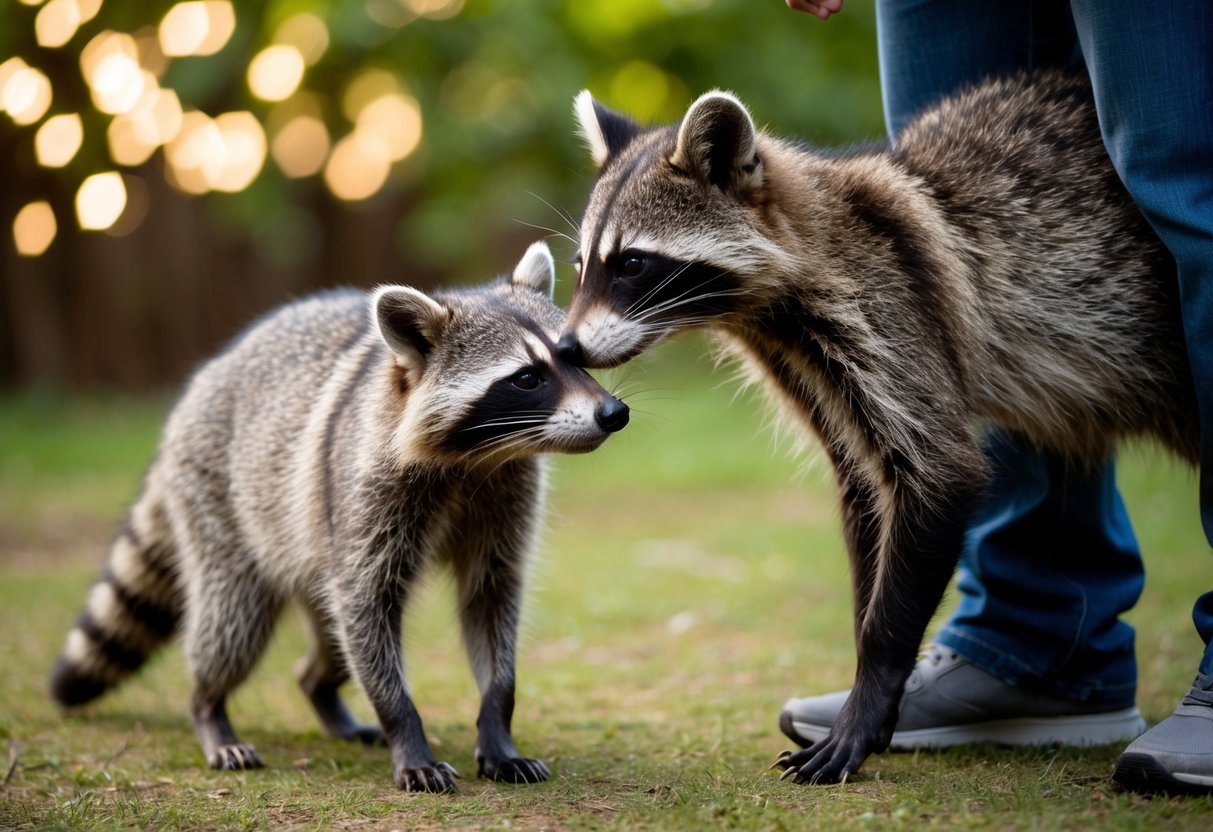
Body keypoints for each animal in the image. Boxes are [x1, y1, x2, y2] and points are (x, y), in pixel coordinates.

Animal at [50, 241, 630, 792]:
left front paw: (497, 725)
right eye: (527, 378)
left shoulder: (505, 499)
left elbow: (491, 599)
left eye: (576, 360)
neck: (476, 460)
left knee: (330, 646)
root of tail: (203, 381)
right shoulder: (366, 492)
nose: (614, 413)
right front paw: (407, 731)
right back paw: (209, 707)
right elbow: (366, 602)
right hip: (219, 499)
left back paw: (320, 690)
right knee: (234, 625)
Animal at [558, 72, 1196, 784]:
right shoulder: (814, 369)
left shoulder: (891, 313)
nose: (567, 349)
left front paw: (874, 684)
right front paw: (879, 689)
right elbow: (866, 484)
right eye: (582, 264)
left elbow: (943, 472)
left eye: (632, 264)